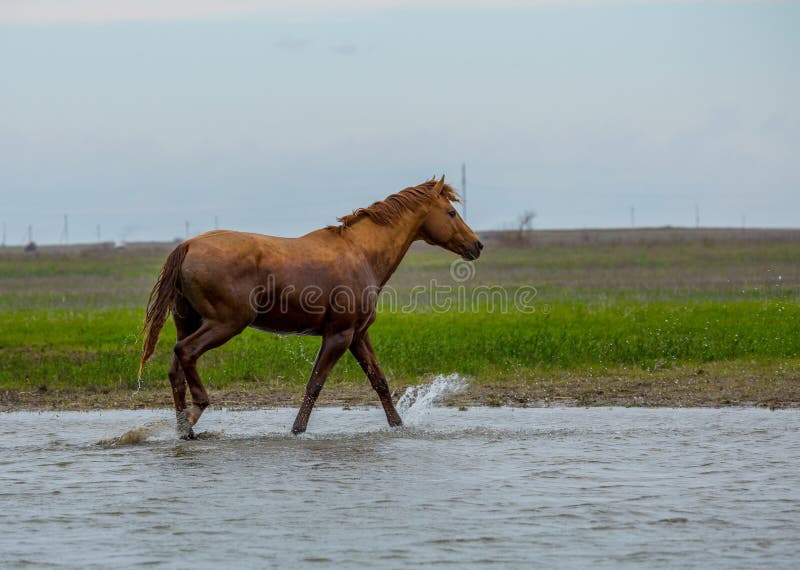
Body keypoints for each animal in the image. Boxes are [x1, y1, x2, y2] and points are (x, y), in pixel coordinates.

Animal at [138, 176, 483, 438]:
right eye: (451, 213)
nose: (477, 245)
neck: (361, 253)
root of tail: (188, 245)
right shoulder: (338, 335)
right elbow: (315, 384)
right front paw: (297, 431)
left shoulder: (358, 335)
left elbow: (380, 382)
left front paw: (399, 426)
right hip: (225, 324)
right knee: (185, 352)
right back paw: (196, 410)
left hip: (189, 320)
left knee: (175, 369)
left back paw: (185, 429)